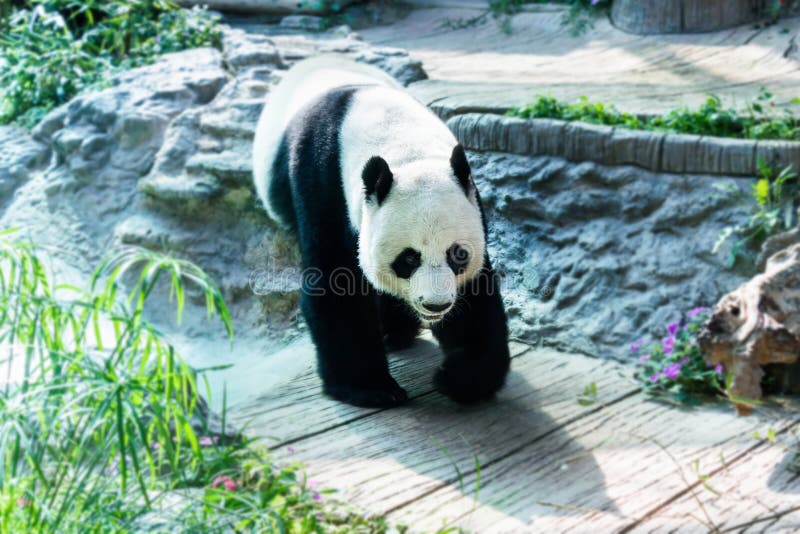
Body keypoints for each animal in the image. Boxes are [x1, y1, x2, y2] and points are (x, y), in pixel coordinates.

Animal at [252, 56, 510, 408]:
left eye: (457, 254)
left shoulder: (469, 199)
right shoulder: (323, 181)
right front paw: (372, 388)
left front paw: (461, 378)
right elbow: (336, 282)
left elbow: (476, 293)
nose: (436, 305)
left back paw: (395, 333)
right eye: (408, 259)